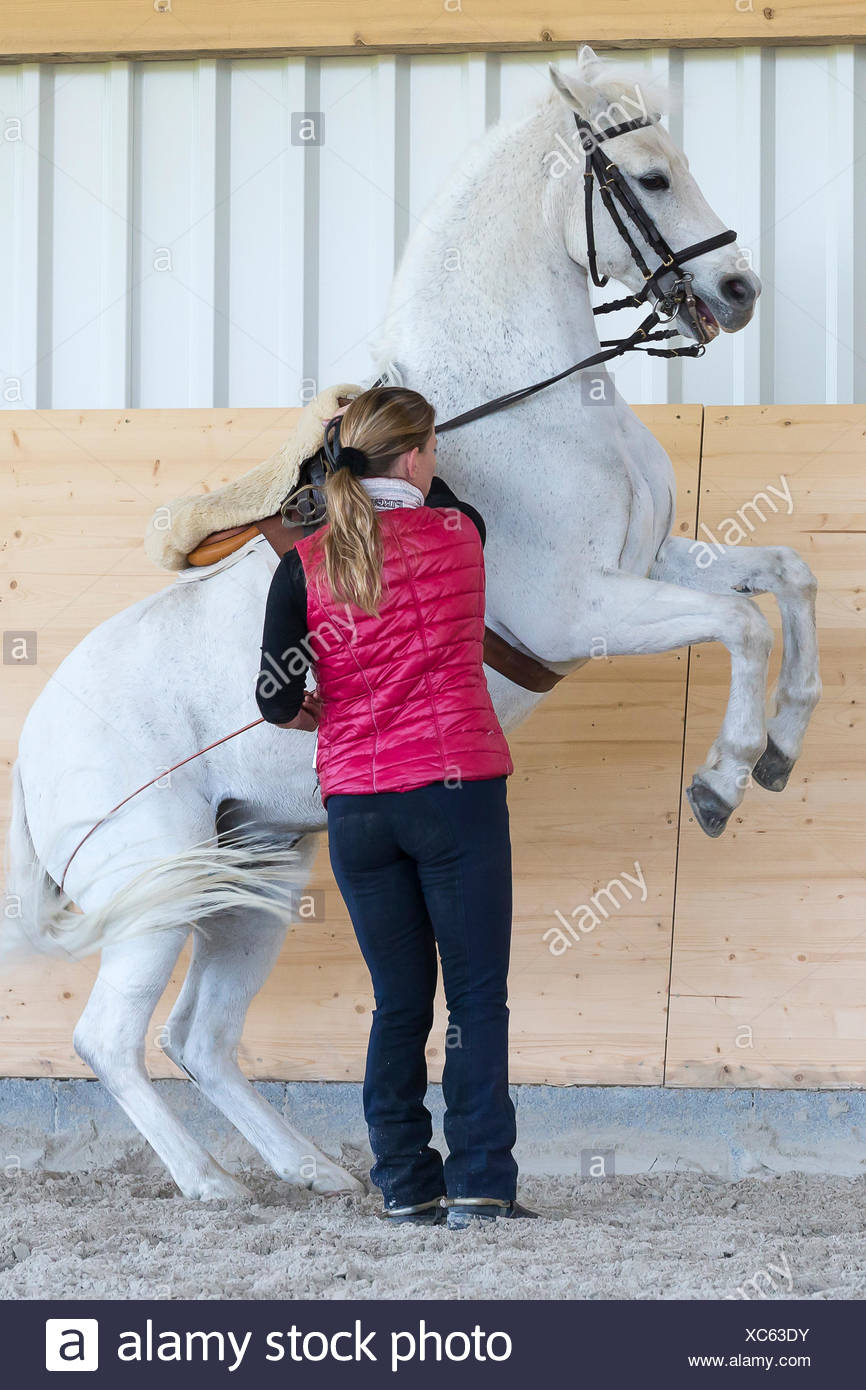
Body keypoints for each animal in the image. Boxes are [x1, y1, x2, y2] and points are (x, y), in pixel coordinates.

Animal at [2, 48, 819, 1200]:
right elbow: (740, 625)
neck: (519, 404)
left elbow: (785, 581)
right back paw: (210, 1185)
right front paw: (719, 782)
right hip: (158, 893)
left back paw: (312, 1173)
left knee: (199, 1038)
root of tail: (35, 757)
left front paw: (782, 749)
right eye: (653, 177)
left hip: (254, 880)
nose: (735, 291)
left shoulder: (646, 564)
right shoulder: (583, 609)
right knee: (110, 1040)